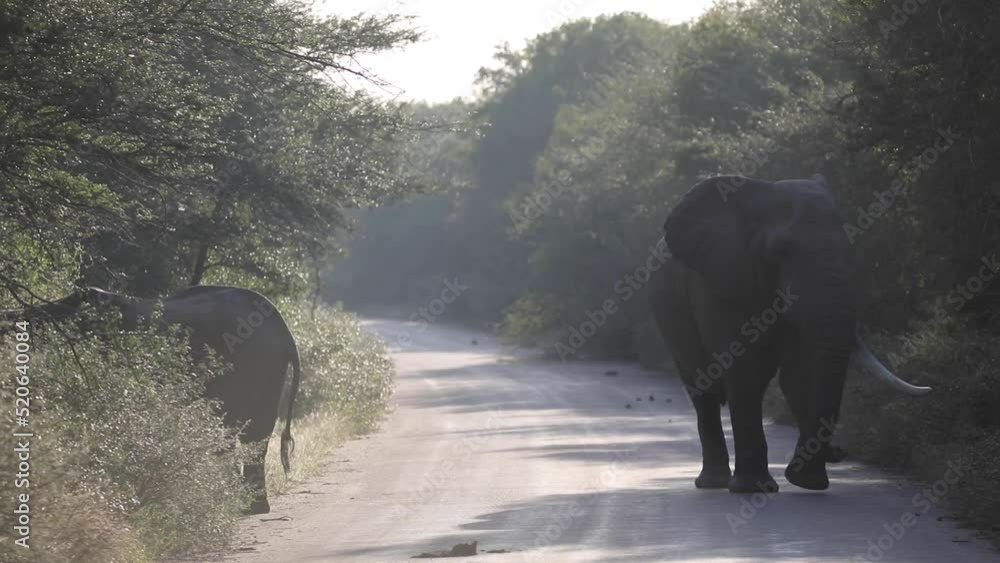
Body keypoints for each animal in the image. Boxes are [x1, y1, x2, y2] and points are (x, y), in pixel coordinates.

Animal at [1, 285, 301, 514]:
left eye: (72, 302)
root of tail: (285, 331)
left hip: (250, 364)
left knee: (239, 430)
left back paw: (240, 506)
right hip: (267, 371)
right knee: (254, 434)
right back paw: (250, 506)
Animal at [649, 174, 930, 494]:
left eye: (850, 252)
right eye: (779, 253)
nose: (840, 452)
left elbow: (801, 373)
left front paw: (808, 483)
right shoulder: (719, 283)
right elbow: (744, 370)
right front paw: (756, 489)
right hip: (670, 319)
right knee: (702, 387)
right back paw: (713, 483)